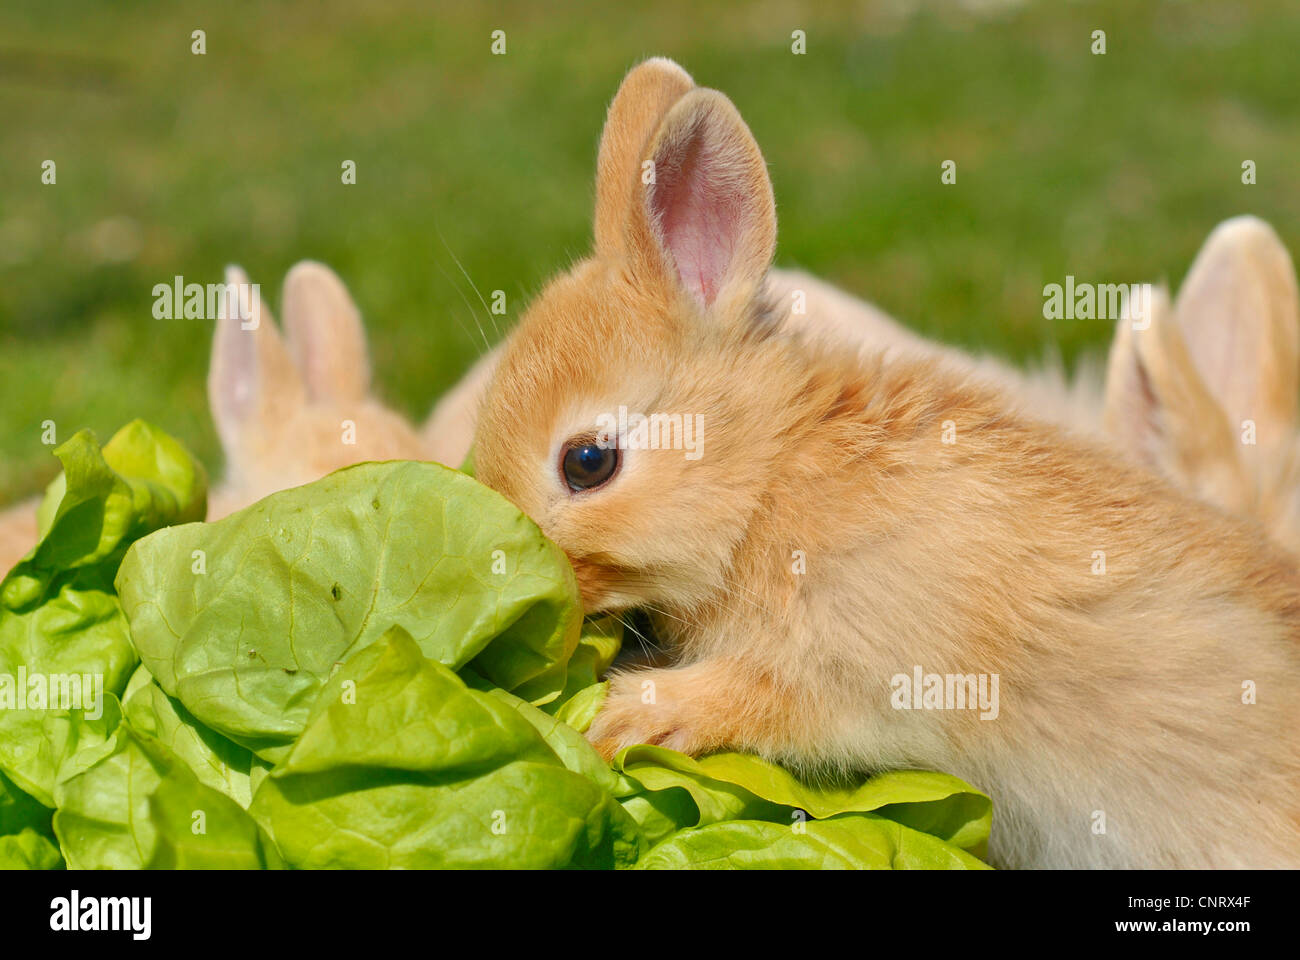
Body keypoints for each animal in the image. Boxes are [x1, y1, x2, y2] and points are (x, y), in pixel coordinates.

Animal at [469, 57, 1300, 869]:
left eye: (587, 463)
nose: (524, 592)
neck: (769, 479)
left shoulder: (866, 663)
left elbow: (776, 698)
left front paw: (628, 716)